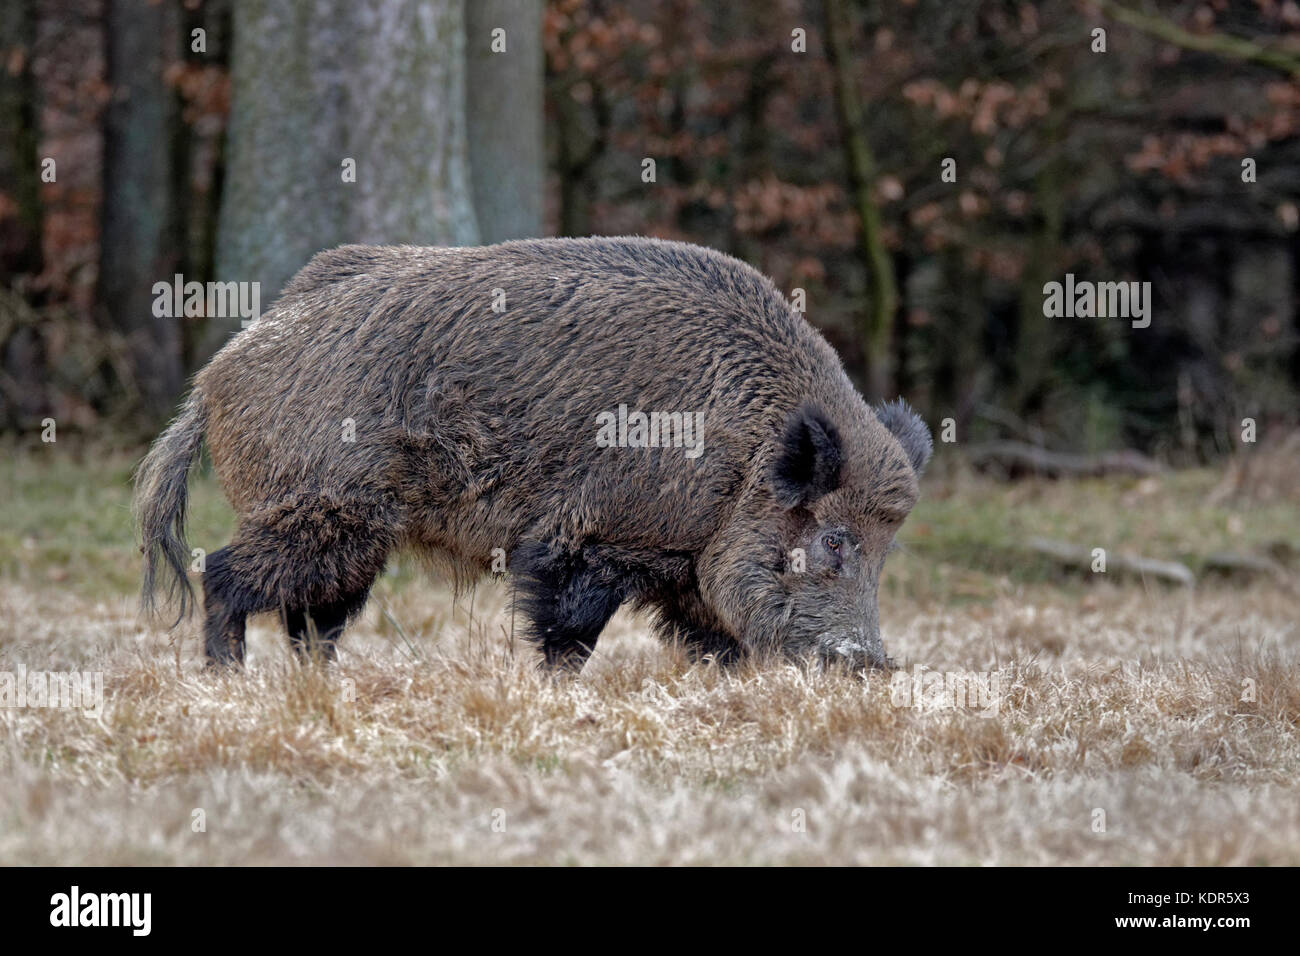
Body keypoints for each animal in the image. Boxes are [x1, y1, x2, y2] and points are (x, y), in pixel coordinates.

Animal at [135, 237, 931, 671]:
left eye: (888, 550)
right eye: (834, 539)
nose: (871, 666)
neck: (742, 459)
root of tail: (219, 374)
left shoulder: (682, 564)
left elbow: (715, 638)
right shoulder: (591, 537)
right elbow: (568, 636)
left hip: (349, 535)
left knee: (311, 620)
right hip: (321, 507)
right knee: (225, 573)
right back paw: (228, 676)